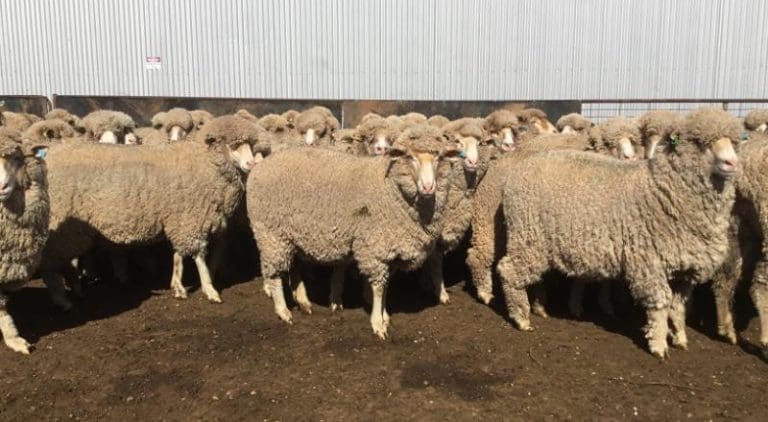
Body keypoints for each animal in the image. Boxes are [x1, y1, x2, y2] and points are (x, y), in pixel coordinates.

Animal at [39, 115, 272, 310]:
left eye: (250, 145)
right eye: (233, 146)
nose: (251, 163)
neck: (204, 163)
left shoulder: (179, 219)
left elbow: (178, 255)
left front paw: (177, 286)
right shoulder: (191, 219)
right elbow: (199, 256)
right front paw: (209, 290)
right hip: (61, 225)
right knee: (50, 265)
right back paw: (63, 299)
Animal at [247, 124, 459, 338]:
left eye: (439, 158)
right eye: (410, 157)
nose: (428, 187)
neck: (390, 187)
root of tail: (261, 165)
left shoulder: (391, 252)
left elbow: (386, 286)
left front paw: (385, 316)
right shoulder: (375, 248)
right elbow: (379, 288)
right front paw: (378, 323)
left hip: (289, 236)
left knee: (293, 267)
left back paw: (303, 301)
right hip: (271, 233)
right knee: (274, 273)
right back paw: (283, 311)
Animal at [495, 108, 741, 358]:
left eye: (734, 142)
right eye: (701, 142)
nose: (732, 162)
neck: (664, 189)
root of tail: (518, 171)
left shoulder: (685, 272)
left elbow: (678, 307)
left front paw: (680, 337)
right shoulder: (649, 263)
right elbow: (660, 305)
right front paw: (659, 345)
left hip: (535, 242)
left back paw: (537, 307)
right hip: (527, 236)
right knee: (508, 270)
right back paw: (520, 317)